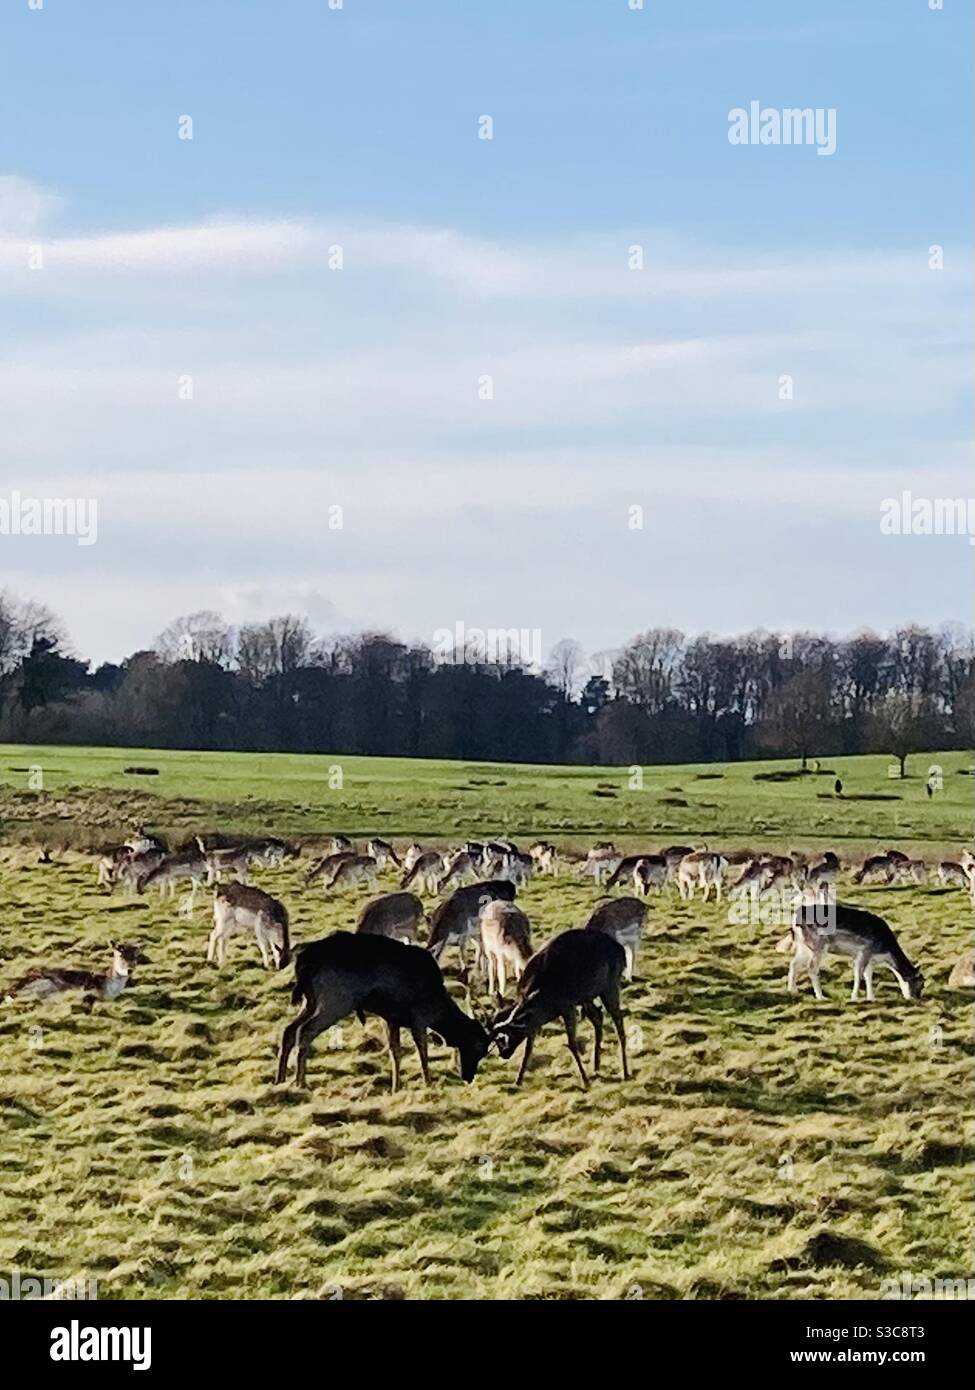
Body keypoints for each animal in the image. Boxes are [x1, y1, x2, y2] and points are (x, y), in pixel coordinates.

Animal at [5, 941, 149, 1009]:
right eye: (120, 954)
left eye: (136, 956)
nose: (129, 970)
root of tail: (10, 992)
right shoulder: (88, 989)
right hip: (45, 984)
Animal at [275, 932, 489, 1092]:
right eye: (479, 1048)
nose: (468, 1077)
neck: (438, 1008)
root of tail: (304, 962)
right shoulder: (419, 1017)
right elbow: (422, 1049)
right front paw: (428, 1082)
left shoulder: (391, 1018)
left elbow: (395, 1051)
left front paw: (396, 1087)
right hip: (335, 1000)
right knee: (304, 1031)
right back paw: (301, 1083)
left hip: (309, 1001)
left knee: (289, 1030)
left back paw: (280, 1079)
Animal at [489, 929, 628, 1090]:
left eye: (507, 1035)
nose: (503, 1053)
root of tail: (620, 949)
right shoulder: (536, 1021)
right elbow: (528, 1049)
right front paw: (517, 1081)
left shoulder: (567, 1007)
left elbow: (572, 1044)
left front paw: (585, 1080)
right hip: (587, 997)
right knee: (598, 1018)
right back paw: (596, 1067)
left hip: (609, 986)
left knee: (619, 1024)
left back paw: (625, 1072)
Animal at [785, 901, 924, 1002]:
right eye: (921, 983)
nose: (916, 998)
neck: (885, 953)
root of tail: (796, 916)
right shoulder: (863, 952)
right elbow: (858, 975)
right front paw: (854, 997)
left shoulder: (871, 959)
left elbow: (868, 976)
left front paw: (871, 998)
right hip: (817, 945)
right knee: (811, 968)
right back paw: (821, 997)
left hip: (803, 946)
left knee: (793, 963)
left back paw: (792, 990)